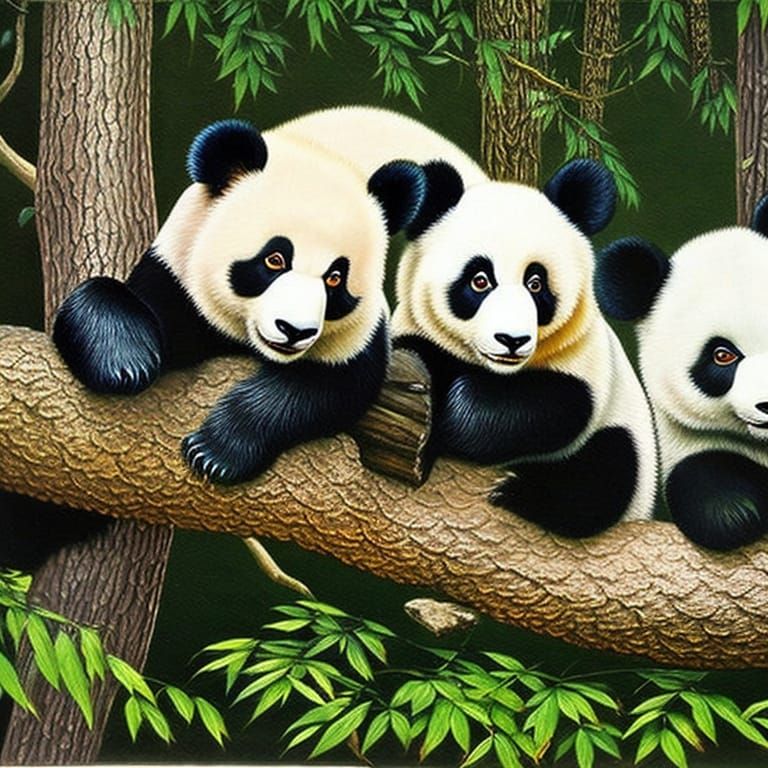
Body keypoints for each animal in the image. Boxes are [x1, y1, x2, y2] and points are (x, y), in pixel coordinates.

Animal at [53, 117, 427, 485]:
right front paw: (123, 362)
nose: (294, 330)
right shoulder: (178, 279)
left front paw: (214, 451)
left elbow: (329, 387)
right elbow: (117, 301)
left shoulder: (358, 337)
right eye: (274, 259)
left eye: (335, 278)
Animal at [389, 159, 658, 537]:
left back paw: (521, 493)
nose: (512, 340)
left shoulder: (585, 362)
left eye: (535, 283)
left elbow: (547, 407)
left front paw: (459, 414)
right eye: (480, 280)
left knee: (606, 470)